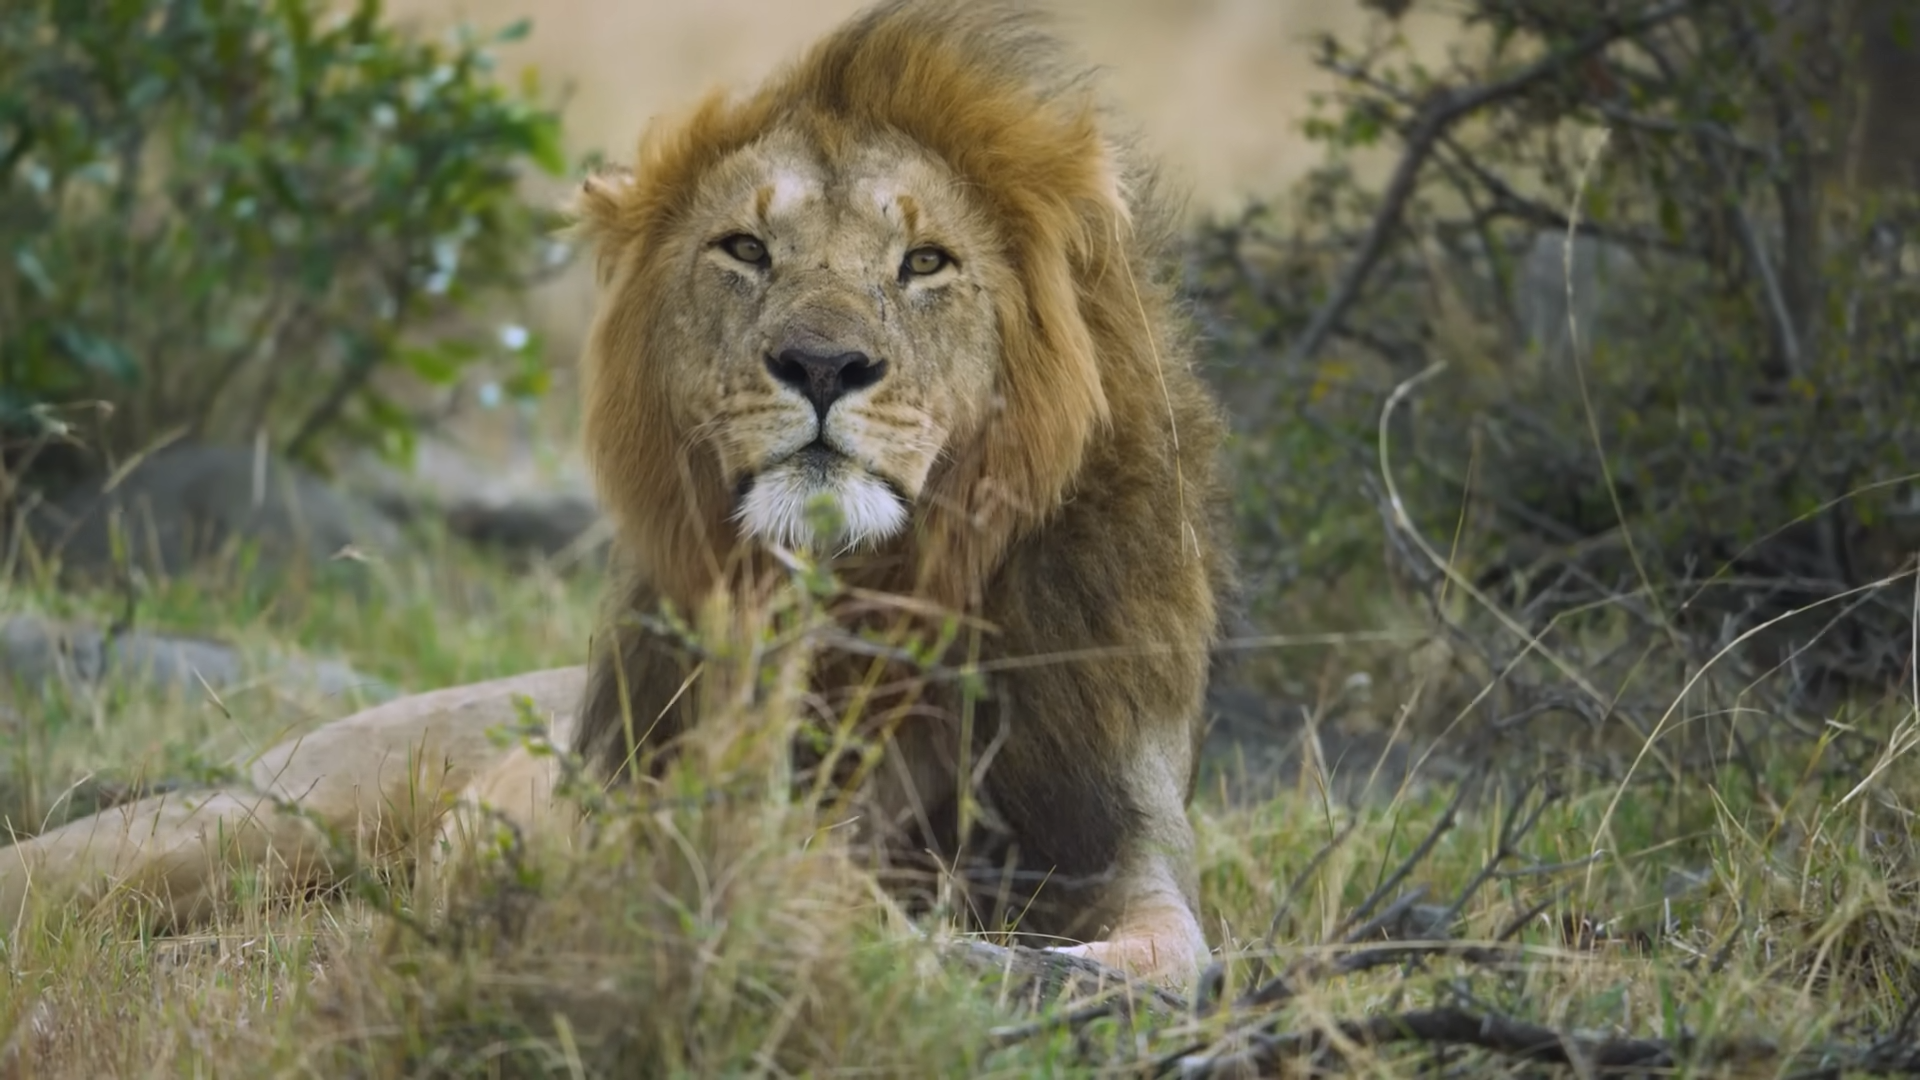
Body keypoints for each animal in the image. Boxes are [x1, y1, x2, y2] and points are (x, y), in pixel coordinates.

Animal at [0, 0, 1235, 990]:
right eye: (745, 249)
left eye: (924, 262)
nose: (823, 364)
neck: (874, 599)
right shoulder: (630, 815)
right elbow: (781, 868)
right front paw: (909, 939)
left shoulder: (1119, 830)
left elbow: (1178, 952)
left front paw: (1034, 960)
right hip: (243, 820)